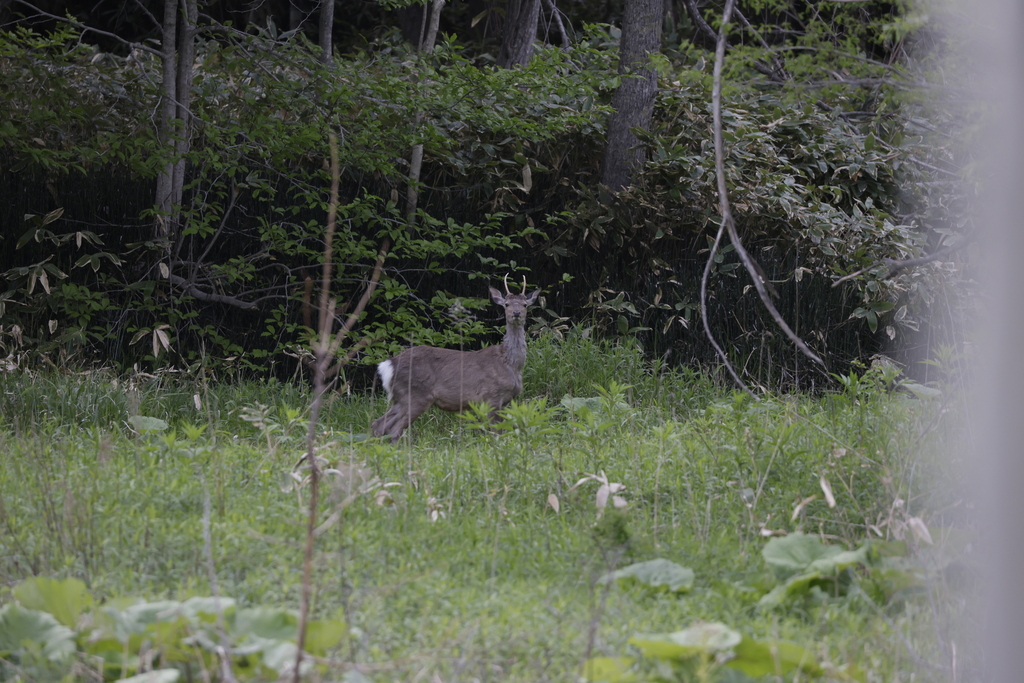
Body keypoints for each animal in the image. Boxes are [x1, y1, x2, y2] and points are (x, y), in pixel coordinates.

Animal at [372, 277, 540, 442]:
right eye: (506, 304)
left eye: (525, 304)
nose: (516, 313)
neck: (510, 364)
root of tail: (389, 364)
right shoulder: (491, 395)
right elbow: (496, 433)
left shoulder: (505, 401)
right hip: (415, 394)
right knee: (394, 429)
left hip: (400, 397)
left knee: (379, 424)